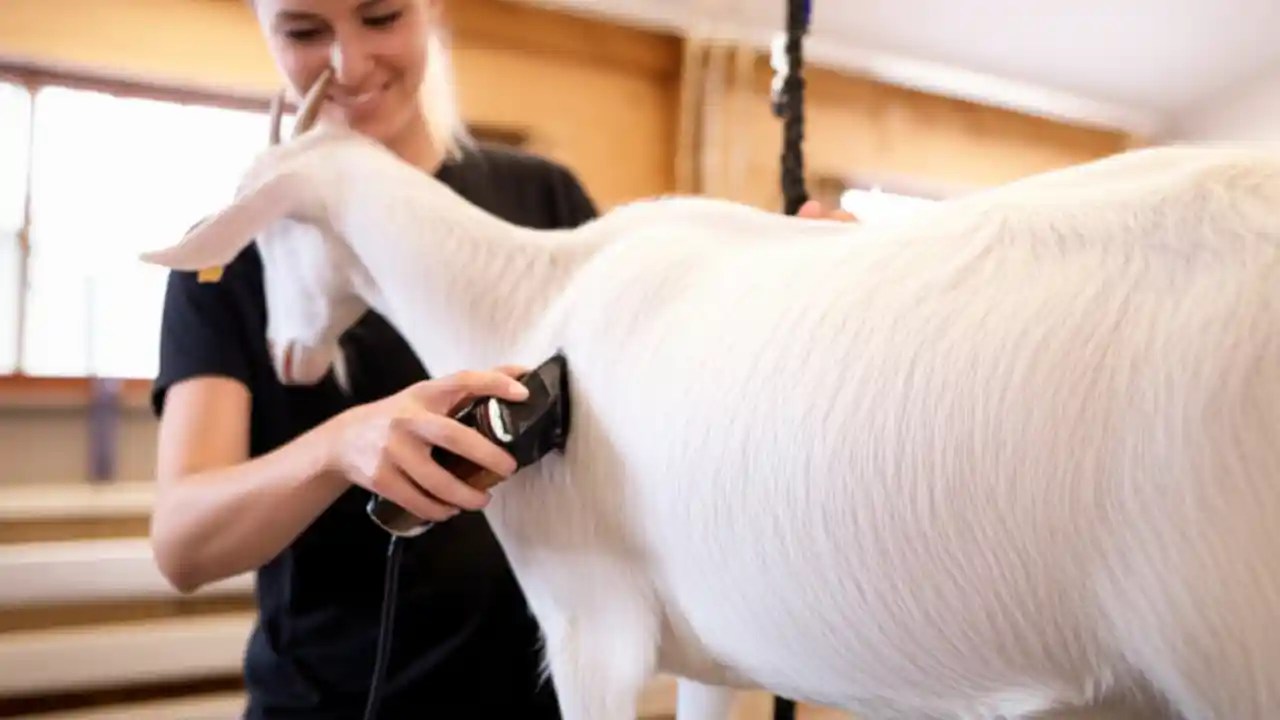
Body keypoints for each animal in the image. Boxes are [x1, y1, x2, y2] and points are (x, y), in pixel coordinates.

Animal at [141, 85, 1280, 718]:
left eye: (268, 233)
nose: (286, 357)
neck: (532, 287)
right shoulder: (712, 653)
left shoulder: (588, 630)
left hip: (1227, 649)